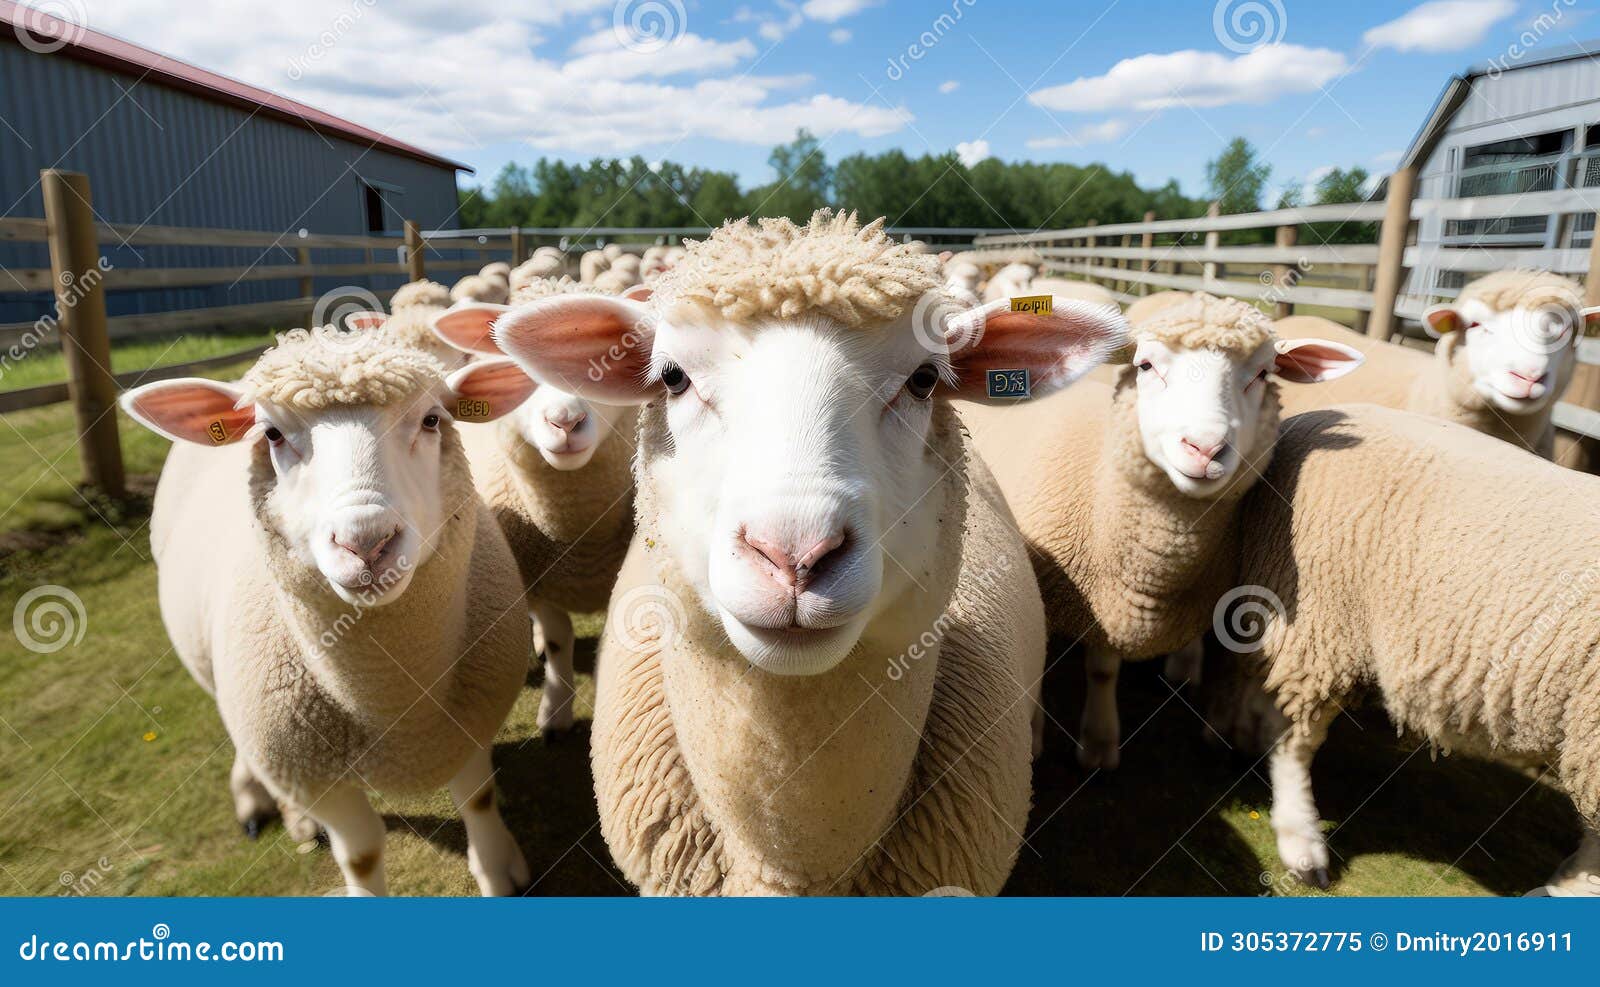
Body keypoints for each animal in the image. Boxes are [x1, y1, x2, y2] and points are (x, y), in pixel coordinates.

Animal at [118, 326, 537, 896]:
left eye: (432, 420)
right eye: (272, 435)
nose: (367, 542)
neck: (395, 704)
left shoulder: (469, 721)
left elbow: (478, 799)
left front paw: (498, 872)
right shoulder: (315, 776)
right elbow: (361, 855)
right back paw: (270, 808)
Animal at [431, 279, 645, 733]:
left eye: (610, 357)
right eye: (519, 369)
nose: (565, 421)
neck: (575, 533)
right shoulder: (536, 580)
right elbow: (559, 636)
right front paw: (556, 712)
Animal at [962, 293, 1362, 770]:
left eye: (1263, 374)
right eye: (1146, 365)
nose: (1205, 448)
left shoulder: (1116, 600)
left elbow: (1103, 669)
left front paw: (1098, 743)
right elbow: (1044, 666)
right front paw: (1038, 736)